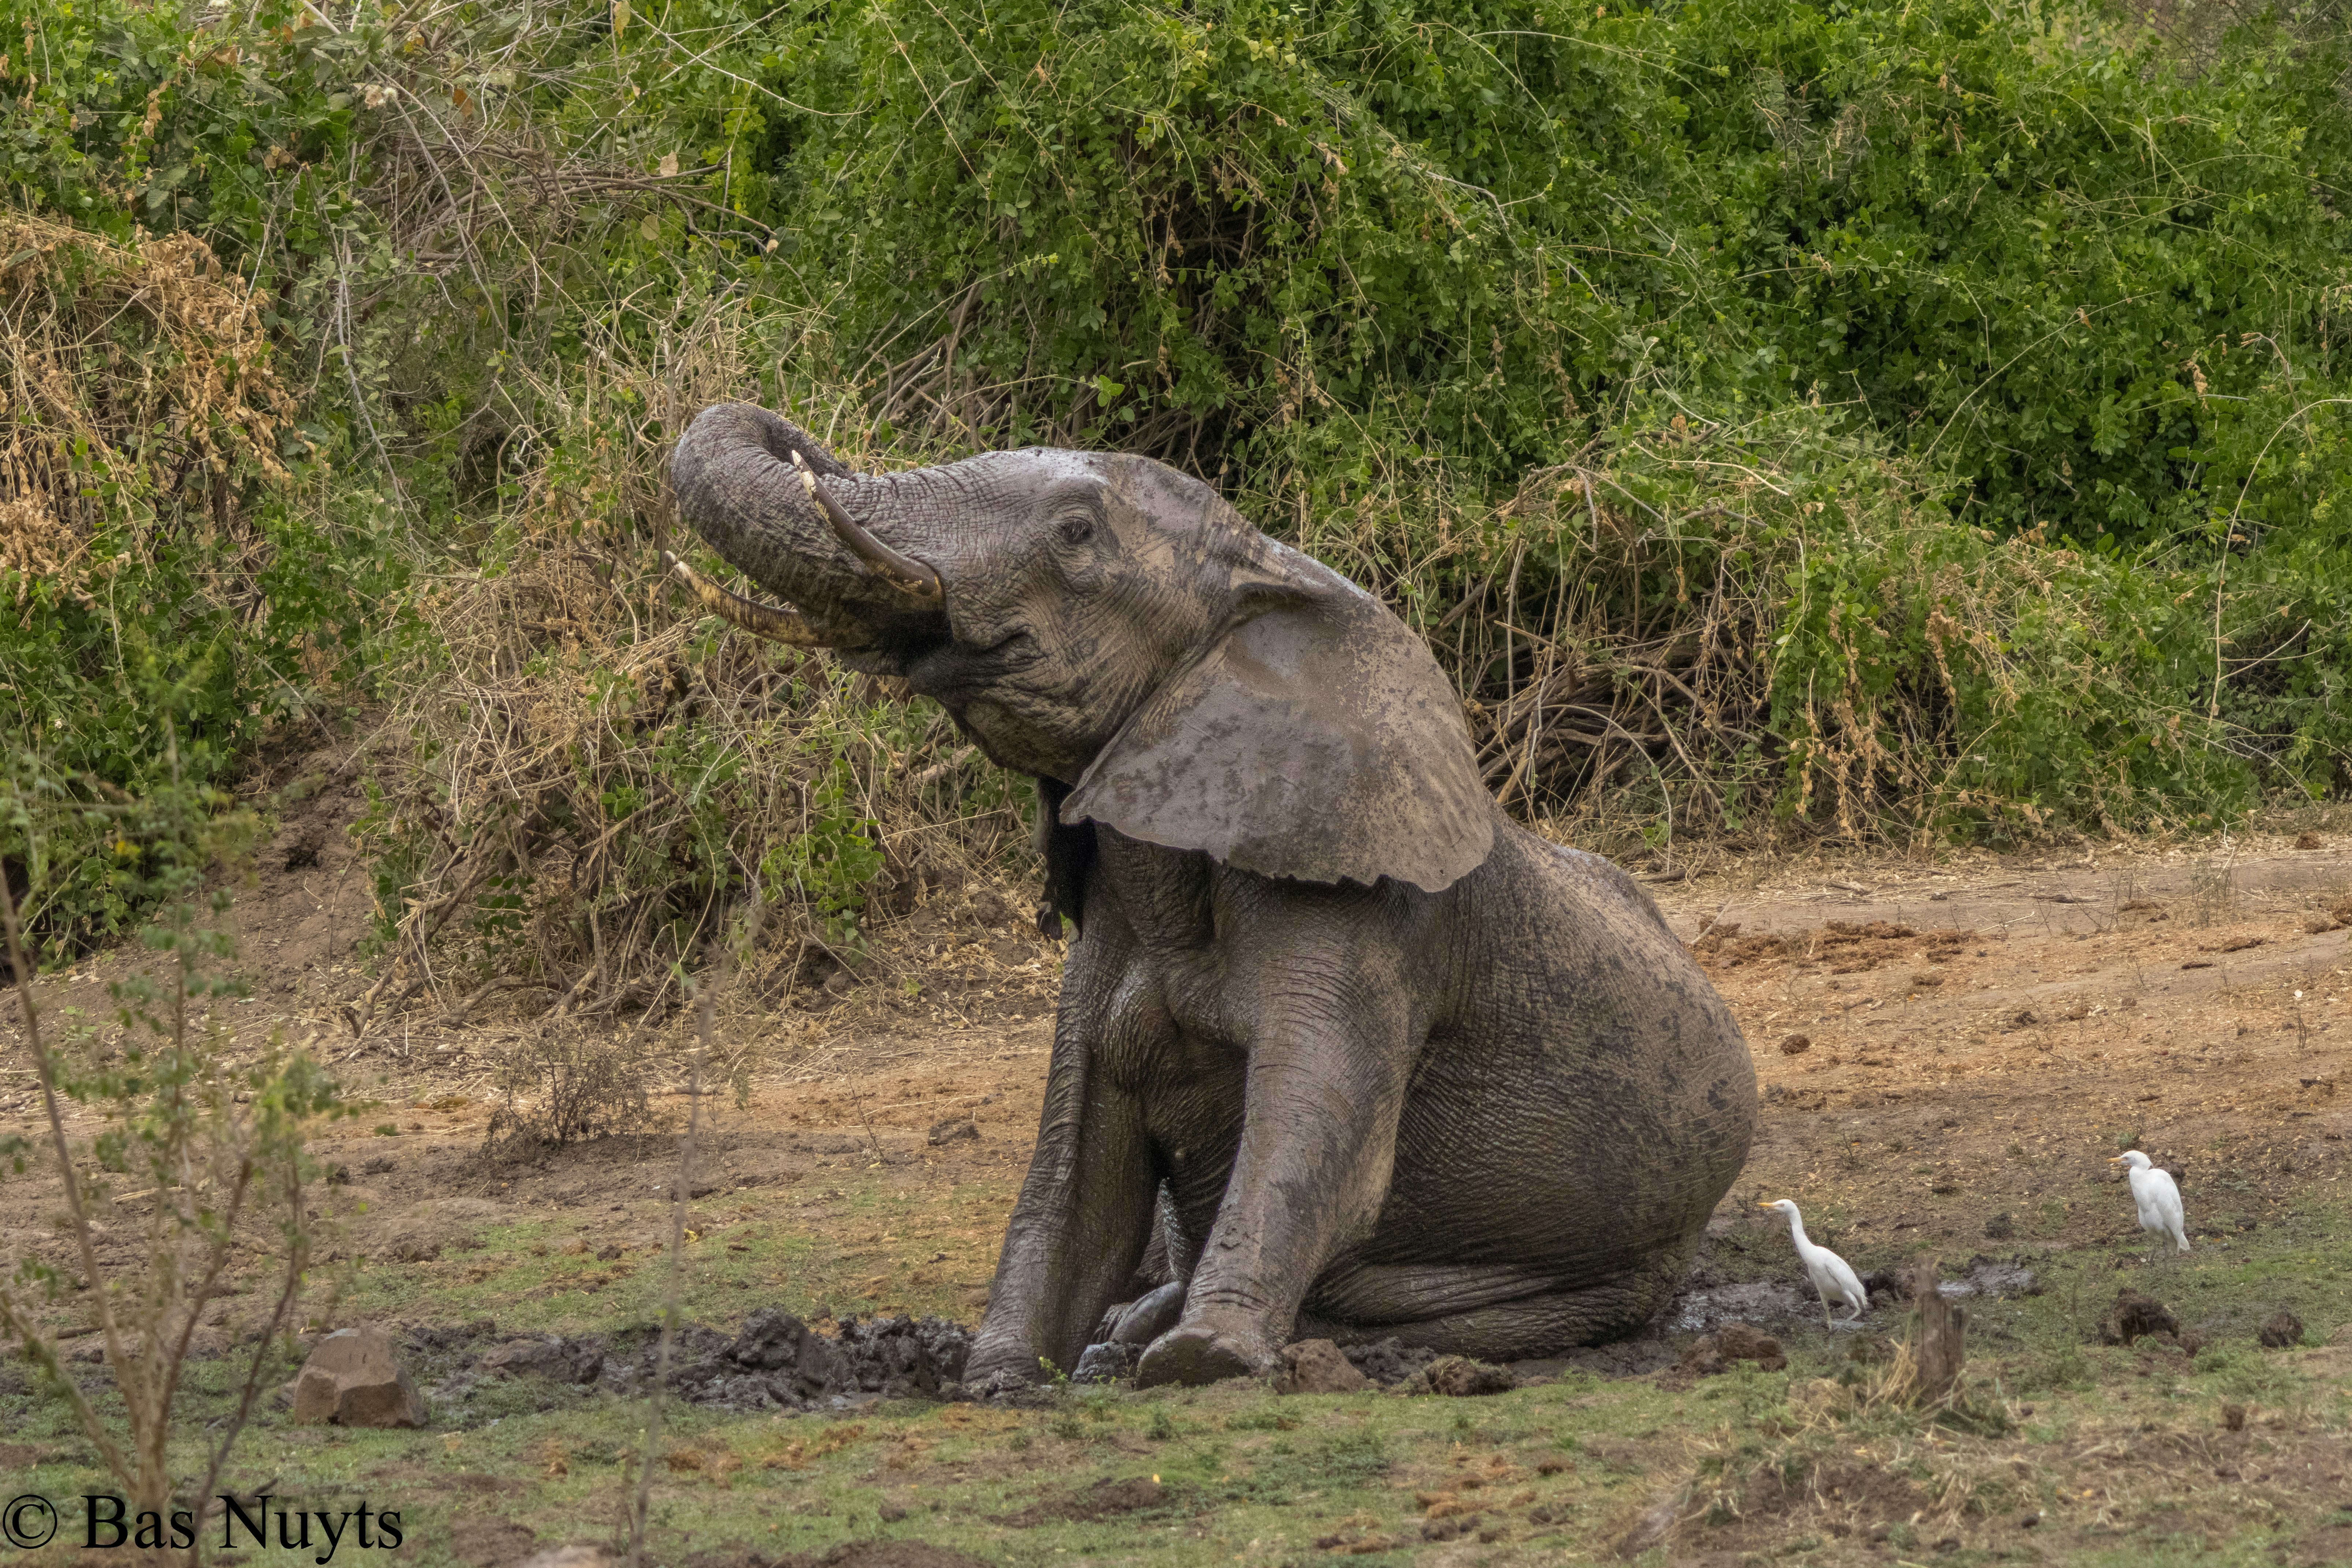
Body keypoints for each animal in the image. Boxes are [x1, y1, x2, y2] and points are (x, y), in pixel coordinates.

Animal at [667, 402, 1756, 1388]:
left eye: (1076, 535)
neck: (1267, 572)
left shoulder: (1370, 927)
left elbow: (1317, 1140)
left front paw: (1203, 1361)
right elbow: (1081, 1179)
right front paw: (998, 1380)